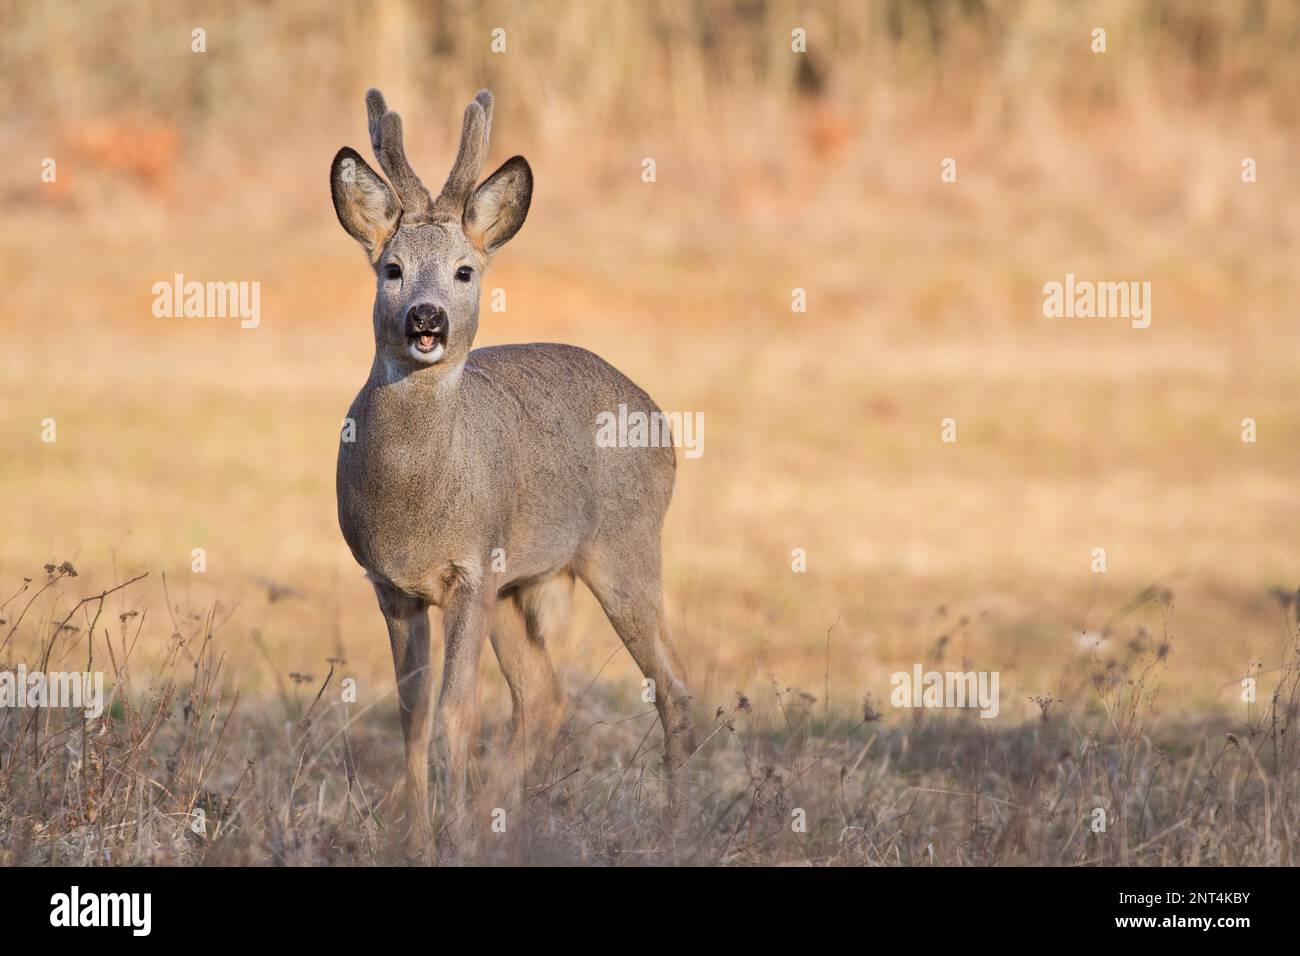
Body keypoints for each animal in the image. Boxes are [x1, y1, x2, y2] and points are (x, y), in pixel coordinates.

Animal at [329, 89, 694, 861]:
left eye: (465, 271)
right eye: (391, 269)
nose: (426, 318)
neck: (417, 505)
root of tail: (658, 414)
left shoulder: (470, 570)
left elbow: (455, 715)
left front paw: (452, 835)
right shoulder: (392, 586)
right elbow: (411, 717)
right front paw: (419, 842)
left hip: (624, 544)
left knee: (671, 688)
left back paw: (675, 833)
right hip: (521, 581)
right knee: (547, 698)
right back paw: (509, 821)